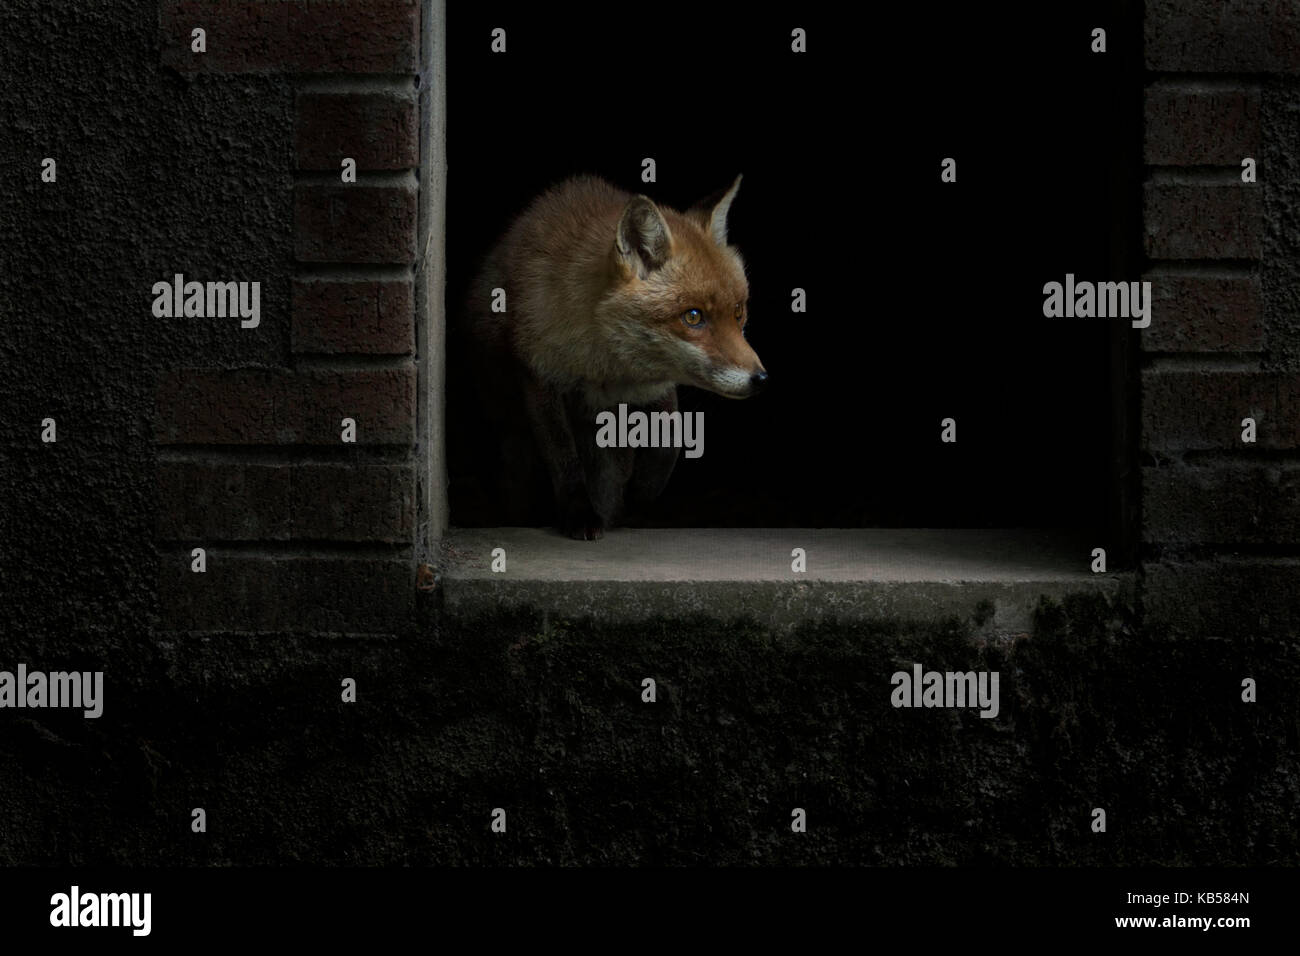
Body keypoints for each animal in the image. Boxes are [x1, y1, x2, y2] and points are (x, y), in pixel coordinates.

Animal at [460, 174, 766, 540]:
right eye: (693, 317)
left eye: (738, 312)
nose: (760, 379)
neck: (609, 367)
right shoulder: (539, 379)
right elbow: (564, 459)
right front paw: (579, 513)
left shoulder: (656, 386)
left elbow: (670, 443)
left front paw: (638, 496)